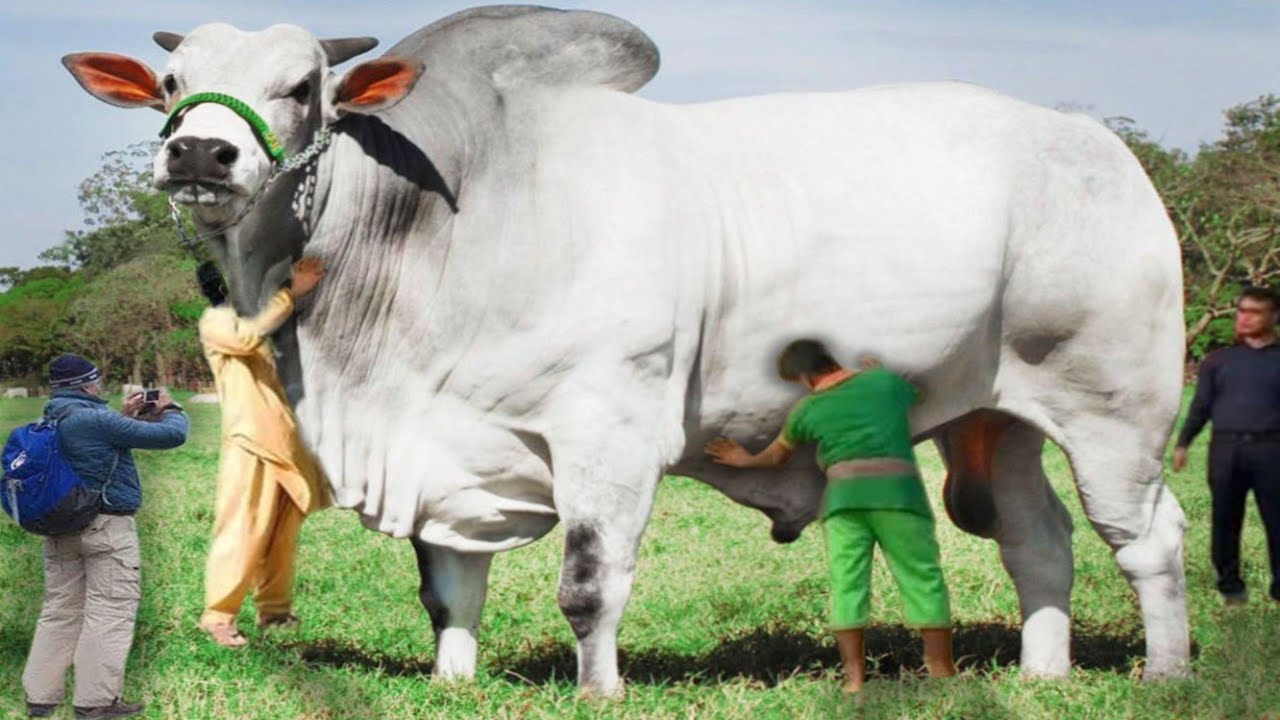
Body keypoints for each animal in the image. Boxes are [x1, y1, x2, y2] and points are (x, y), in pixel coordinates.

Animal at [62, 5, 1189, 695]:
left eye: (303, 86)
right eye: (170, 80)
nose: (200, 151)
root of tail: (1101, 147)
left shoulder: (606, 430)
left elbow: (588, 581)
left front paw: (598, 691)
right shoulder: (441, 448)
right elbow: (448, 589)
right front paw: (453, 679)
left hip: (1114, 408)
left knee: (1146, 536)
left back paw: (1167, 672)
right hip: (998, 414)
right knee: (1036, 536)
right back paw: (1043, 673)